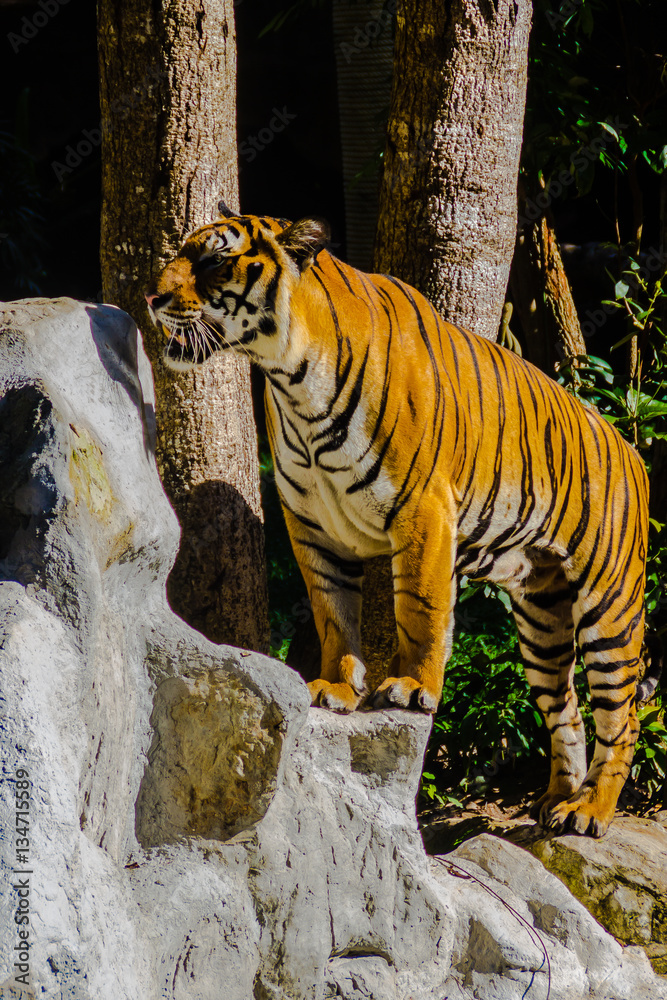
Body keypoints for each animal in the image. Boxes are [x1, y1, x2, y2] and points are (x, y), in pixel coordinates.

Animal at [145, 202, 653, 838]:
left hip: (610, 607)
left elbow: (421, 610)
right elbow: (332, 612)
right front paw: (335, 687)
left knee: (622, 717)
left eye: (214, 261)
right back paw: (554, 806)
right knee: (567, 713)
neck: (289, 378)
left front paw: (411, 688)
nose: (152, 298)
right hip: (543, 620)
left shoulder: (422, 511)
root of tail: (629, 447)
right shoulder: (311, 523)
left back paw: (590, 812)